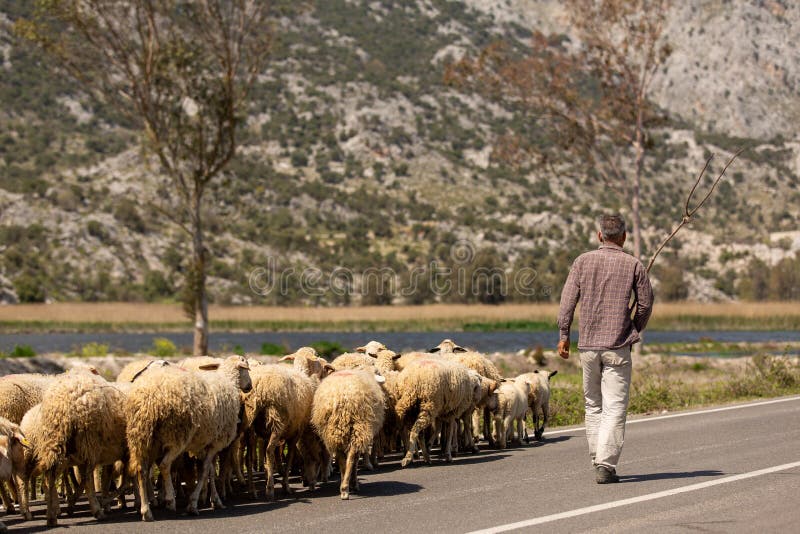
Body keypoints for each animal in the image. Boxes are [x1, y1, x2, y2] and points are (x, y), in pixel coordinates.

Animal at [125, 355, 251, 521]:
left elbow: (210, 471)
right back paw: (170, 500)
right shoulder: (215, 443)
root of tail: (149, 397)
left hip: (141, 438)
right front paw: (194, 503)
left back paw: (146, 510)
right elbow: (204, 471)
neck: (227, 381)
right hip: (177, 435)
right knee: (164, 465)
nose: (250, 386)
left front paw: (215, 499)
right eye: (246, 368)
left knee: (142, 470)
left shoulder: (203, 444)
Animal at [311, 368, 386, 500]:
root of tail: (344, 396)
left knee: (341, 459)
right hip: (358, 427)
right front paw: (353, 483)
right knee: (351, 458)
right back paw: (348, 486)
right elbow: (355, 460)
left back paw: (344, 486)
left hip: (335, 430)